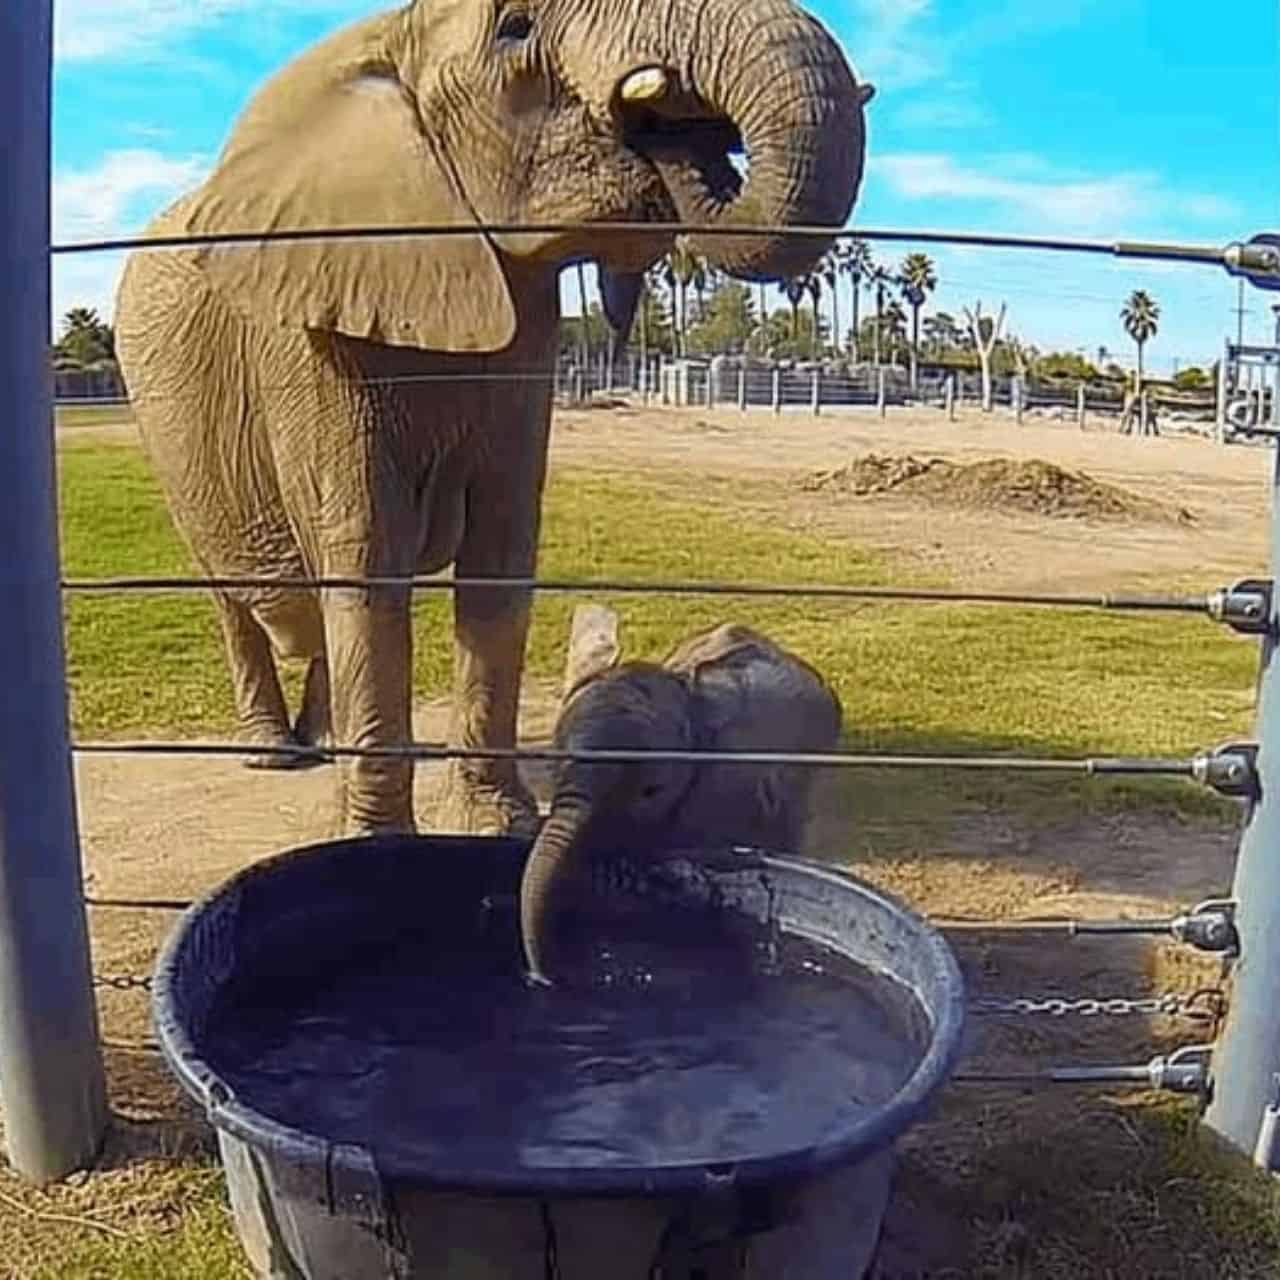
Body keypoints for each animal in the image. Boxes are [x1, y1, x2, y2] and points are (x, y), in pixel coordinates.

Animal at [113, 0, 873, 839]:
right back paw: (274, 756)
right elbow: (367, 557)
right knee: (241, 597)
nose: (680, 137)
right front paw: (376, 840)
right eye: (515, 28)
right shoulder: (309, 334)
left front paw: (499, 825)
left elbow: (501, 549)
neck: (383, 36)